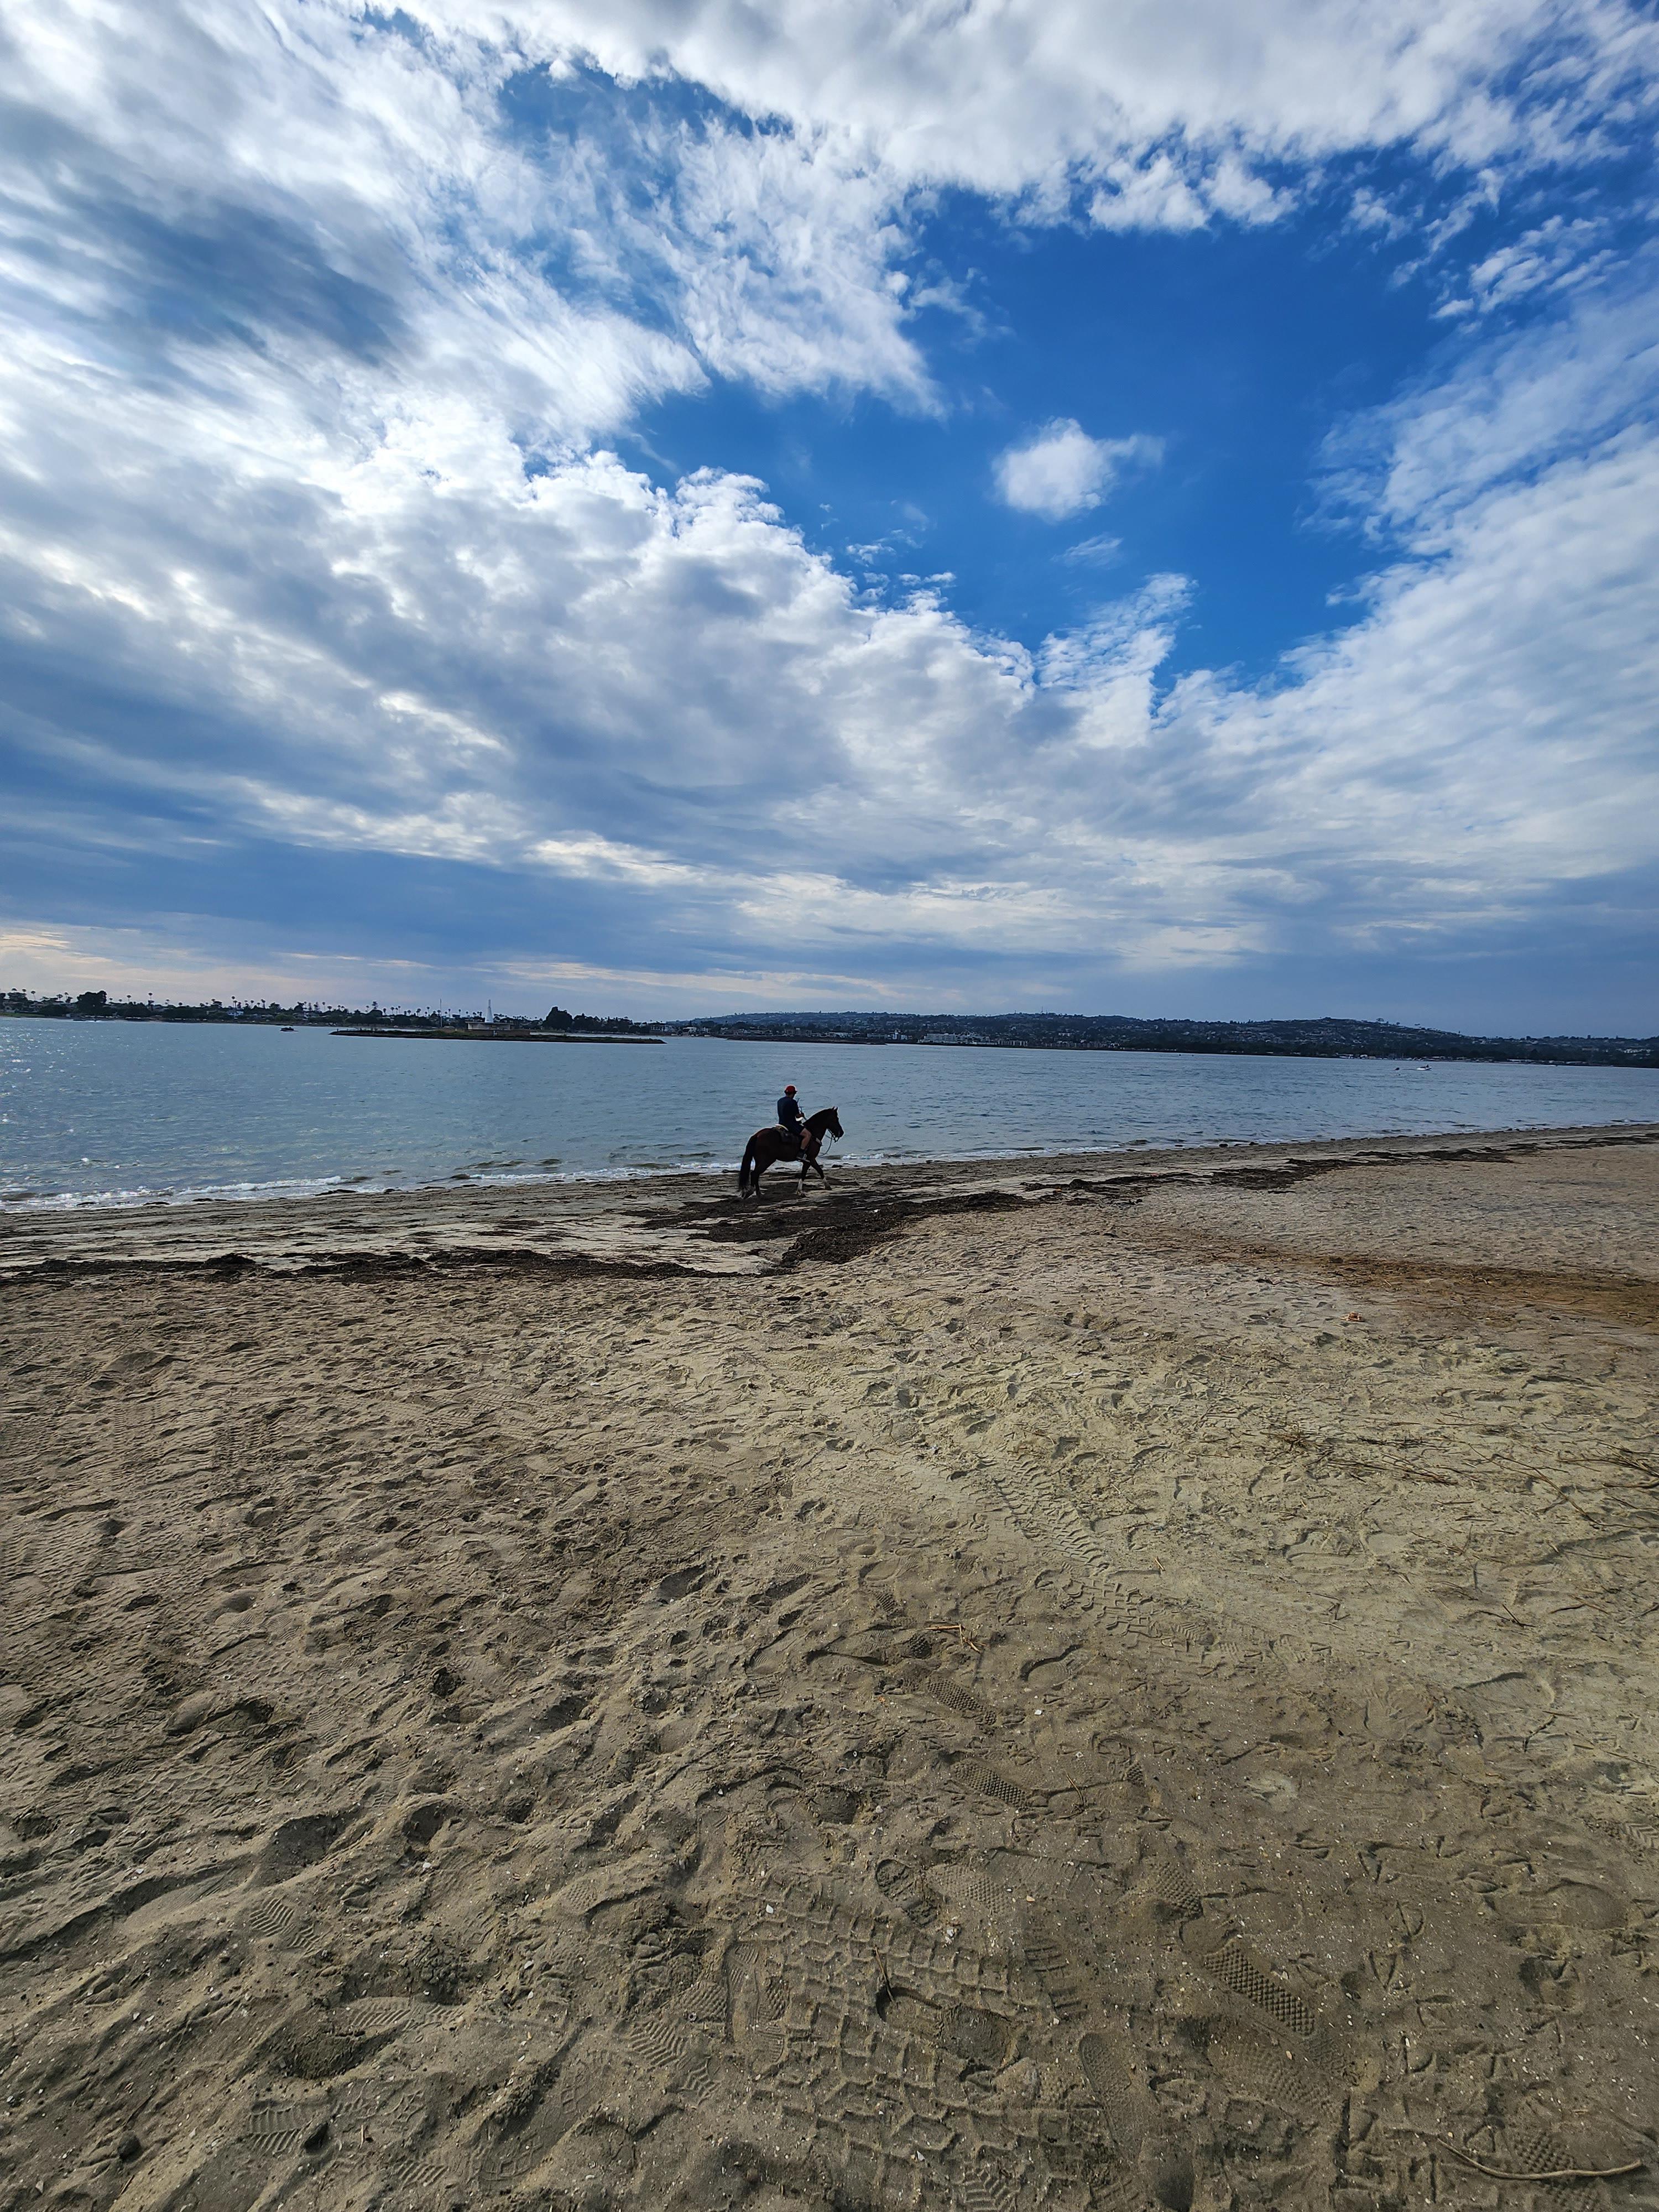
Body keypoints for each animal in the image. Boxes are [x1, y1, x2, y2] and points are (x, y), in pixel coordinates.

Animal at [738, 1106, 844, 1197]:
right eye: (836, 1119)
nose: (841, 1133)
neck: (813, 1133)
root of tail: (757, 1135)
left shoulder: (809, 1160)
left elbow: (814, 1171)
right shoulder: (810, 1159)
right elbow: (809, 1173)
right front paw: (801, 1191)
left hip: (760, 1161)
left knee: (756, 1174)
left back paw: (758, 1193)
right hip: (767, 1160)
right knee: (755, 1174)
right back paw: (754, 1193)